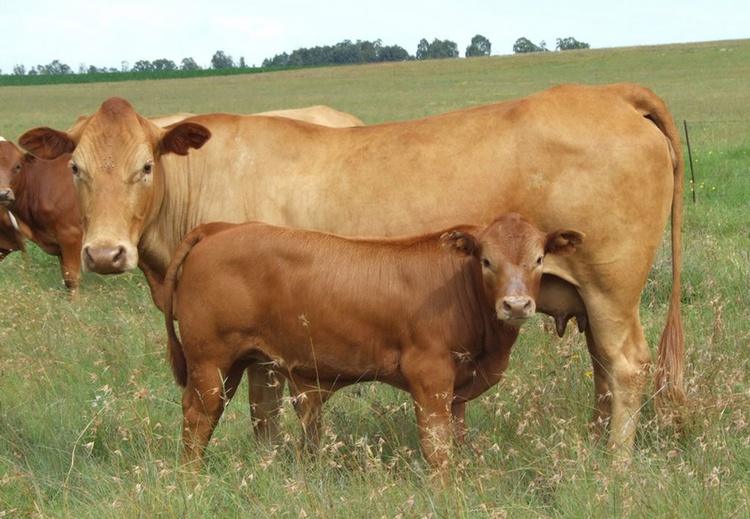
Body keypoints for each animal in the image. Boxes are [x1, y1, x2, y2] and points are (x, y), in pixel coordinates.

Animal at [162, 214, 584, 471]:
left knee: (240, 414)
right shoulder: (429, 376)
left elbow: (456, 439)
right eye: (486, 261)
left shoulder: (458, 389)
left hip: (244, 365)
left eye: (539, 259)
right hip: (210, 362)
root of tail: (222, 227)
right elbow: (437, 446)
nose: (516, 304)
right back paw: (191, 479)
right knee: (198, 417)